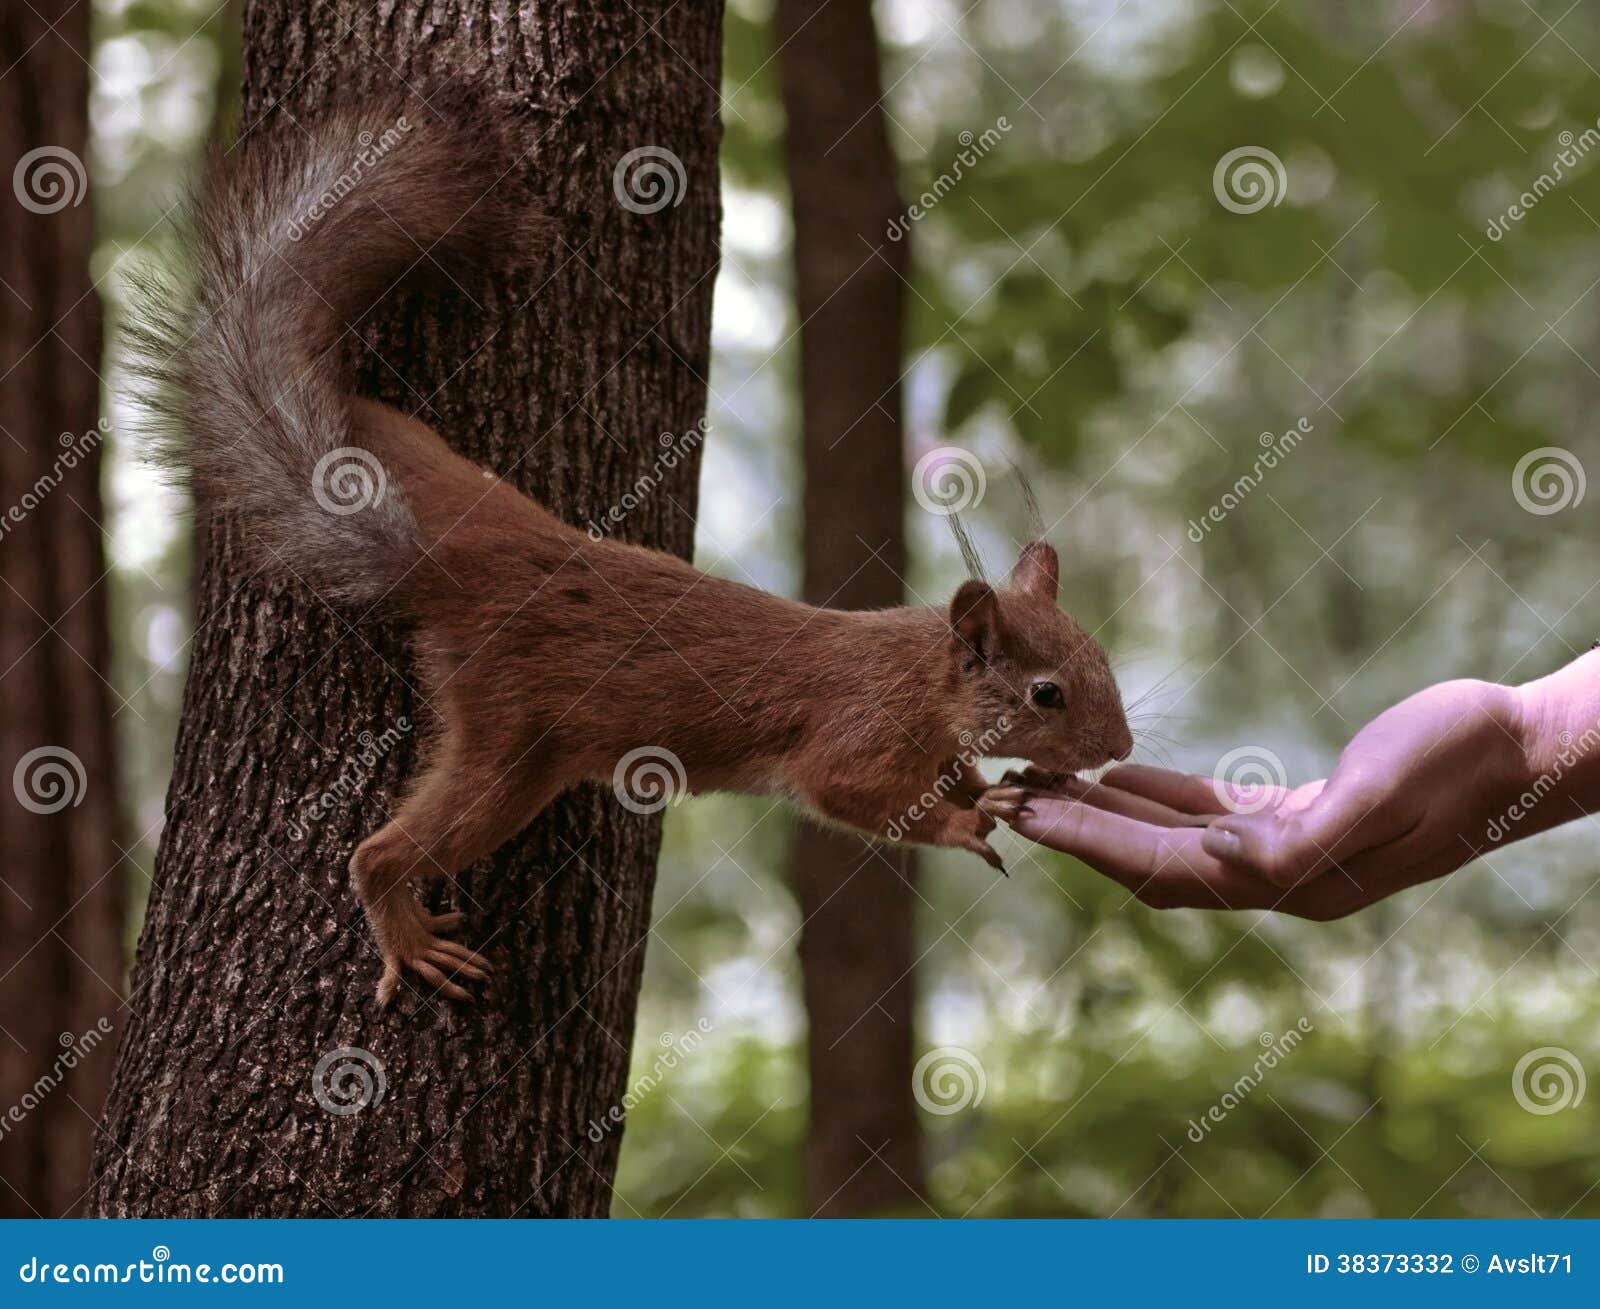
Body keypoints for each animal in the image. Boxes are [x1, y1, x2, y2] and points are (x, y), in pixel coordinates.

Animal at [133, 90, 1134, 1008]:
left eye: (1101, 659)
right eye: (1046, 693)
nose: (1119, 746)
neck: (921, 676)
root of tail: (454, 559)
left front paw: (980, 787)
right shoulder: (854, 734)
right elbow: (849, 795)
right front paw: (962, 827)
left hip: (438, 483)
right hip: (510, 741)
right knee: (381, 851)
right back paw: (407, 932)